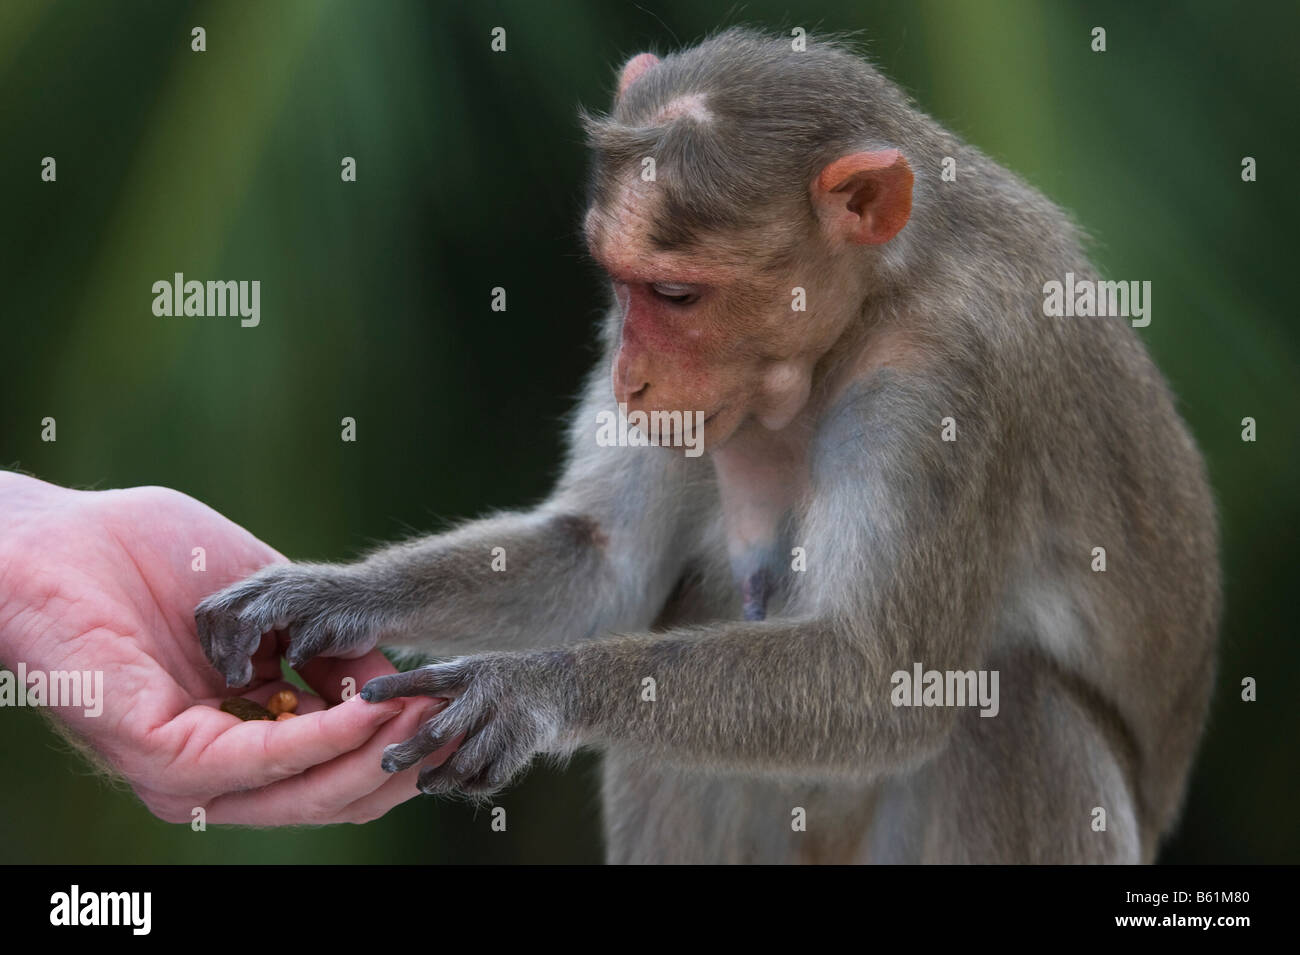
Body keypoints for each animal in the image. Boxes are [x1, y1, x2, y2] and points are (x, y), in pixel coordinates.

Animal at [196, 28, 1220, 864]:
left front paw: (533, 692)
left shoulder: (957, 376)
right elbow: (604, 564)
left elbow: (890, 680)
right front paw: (329, 594)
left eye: (678, 295)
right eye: (620, 283)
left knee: (1014, 702)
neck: (868, 308)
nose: (629, 380)